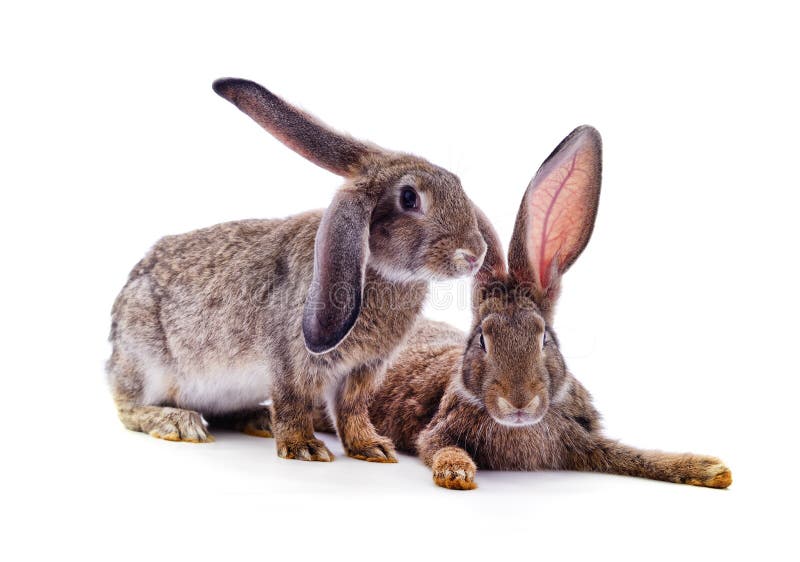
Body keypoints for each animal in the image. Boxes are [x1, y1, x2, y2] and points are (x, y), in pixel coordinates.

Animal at [106, 78, 487, 463]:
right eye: (409, 198)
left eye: (456, 183)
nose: (475, 255)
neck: (373, 267)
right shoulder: (290, 362)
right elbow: (293, 402)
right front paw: (304, 447)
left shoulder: (362, 370)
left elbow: (351, 410)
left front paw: (372, 448)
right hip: (147, 364)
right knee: (128, 408)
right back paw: (179, 423)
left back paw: (258, 420)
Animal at [368, 126, 732, 489]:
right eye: (482, 340)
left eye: (545, 338)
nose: (519, 403)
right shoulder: (437, 431)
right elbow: (440, 447)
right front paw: (456, 473)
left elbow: (635, 456)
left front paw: (710, 469)